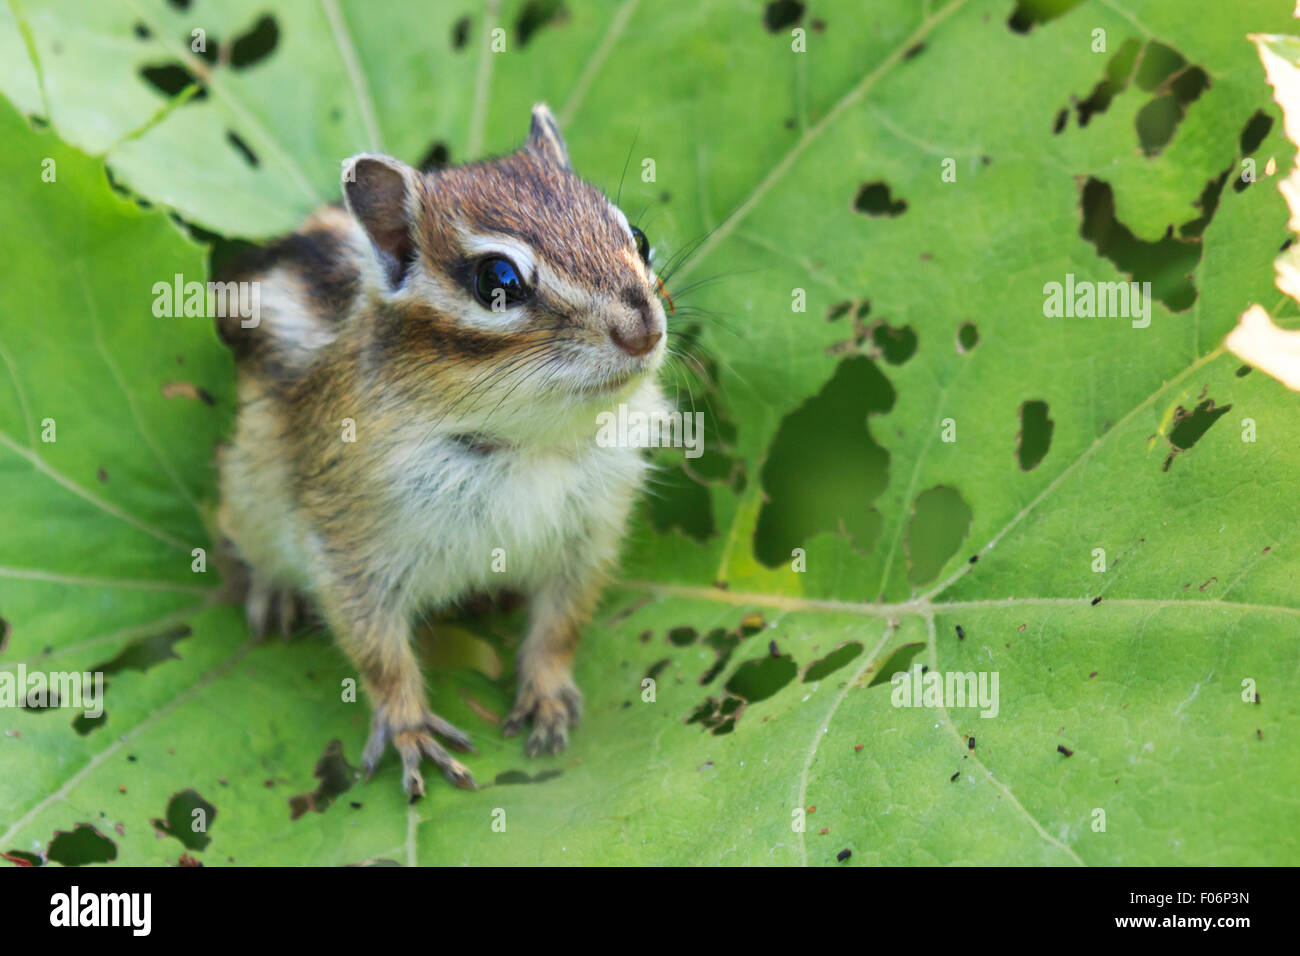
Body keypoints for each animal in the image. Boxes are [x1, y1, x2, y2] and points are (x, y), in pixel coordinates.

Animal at [214, 104, 668, 799]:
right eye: (497, 280)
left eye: (638, 239)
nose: (643, 329)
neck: (527, 443)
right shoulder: (348, 544)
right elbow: (375, 649)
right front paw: (409, 727)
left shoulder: (590, 531)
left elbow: (563, 621)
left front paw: (547, 694)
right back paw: (270, 592)